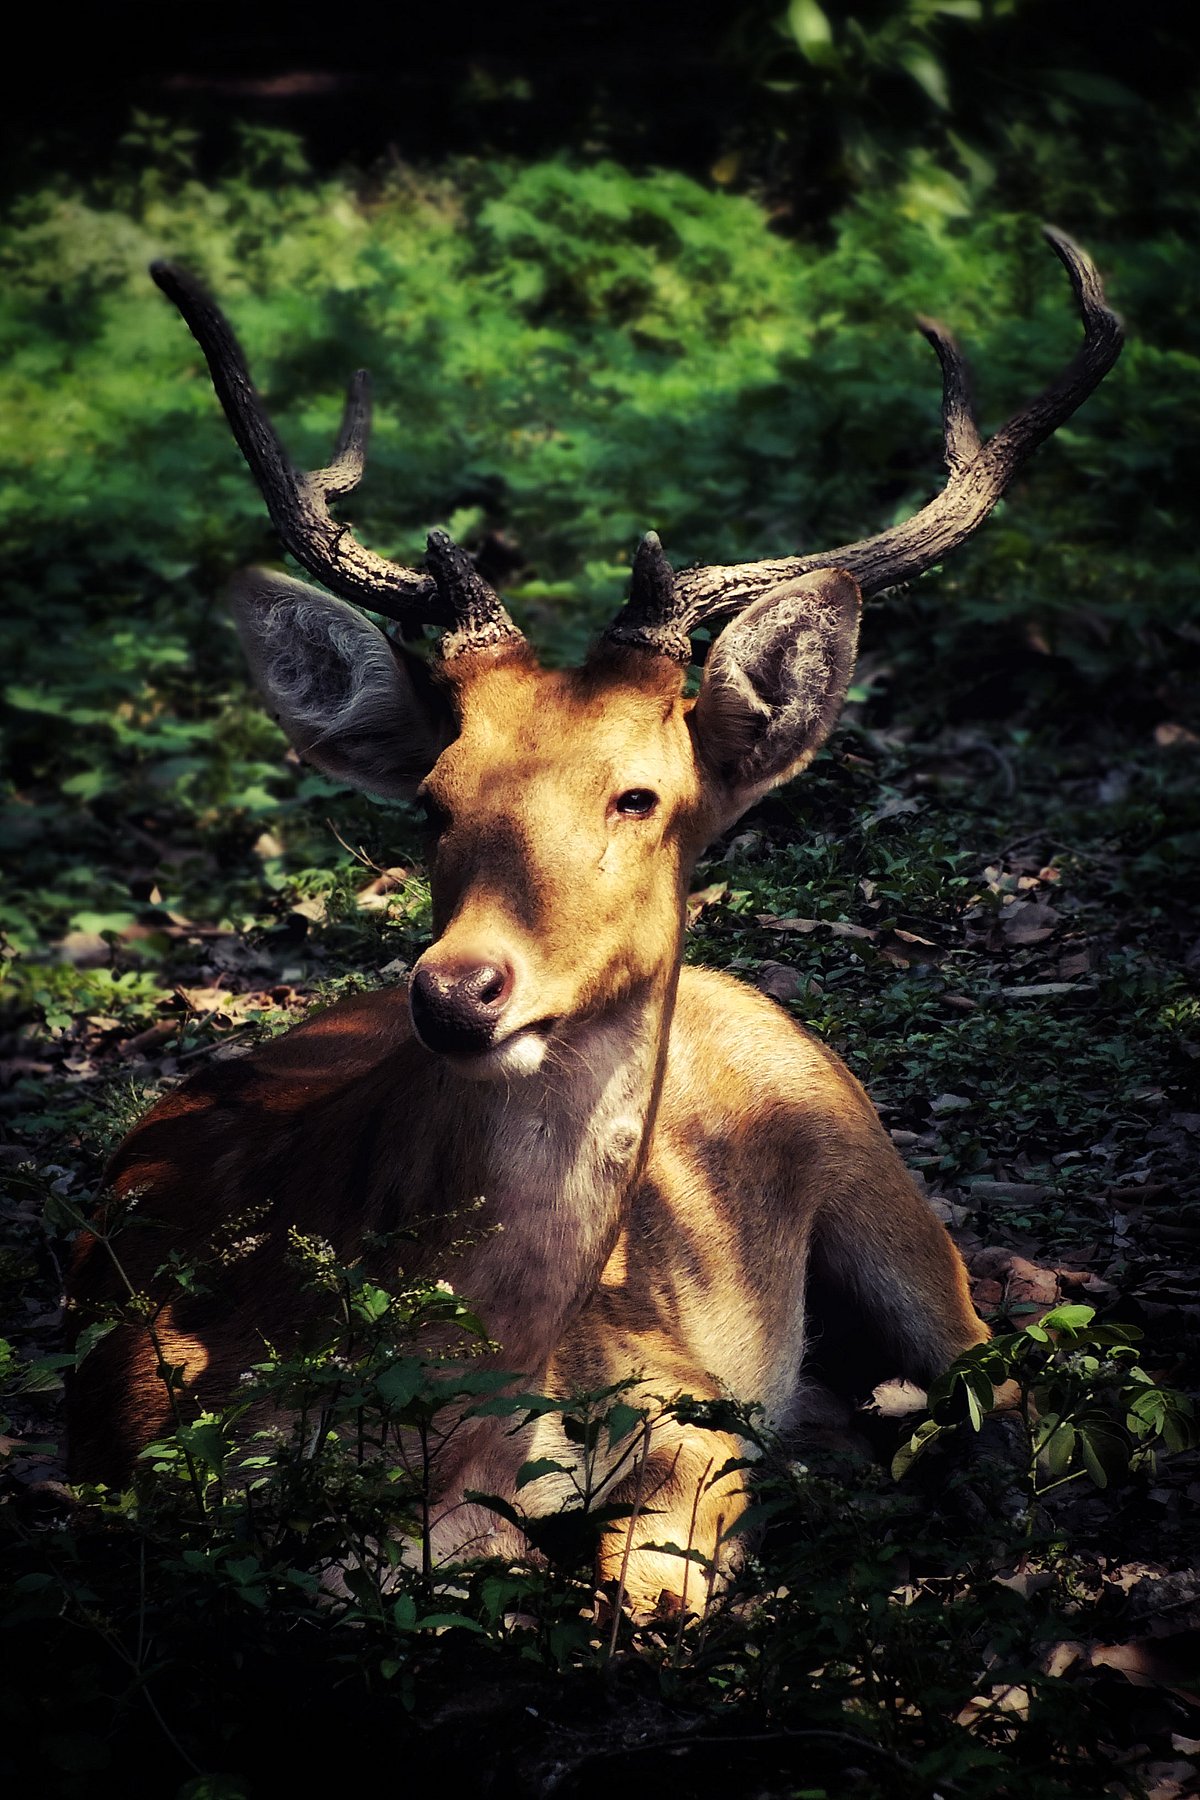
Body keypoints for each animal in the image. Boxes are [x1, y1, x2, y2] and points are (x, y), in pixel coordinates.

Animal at [66, 230, 1121, 1615]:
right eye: (432, 796)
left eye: (642, 793)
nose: (460, 989)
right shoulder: (142, 1434)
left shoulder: (685, 1405)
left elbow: (658, 1580)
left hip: (882, 1187)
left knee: (1001, 1376)